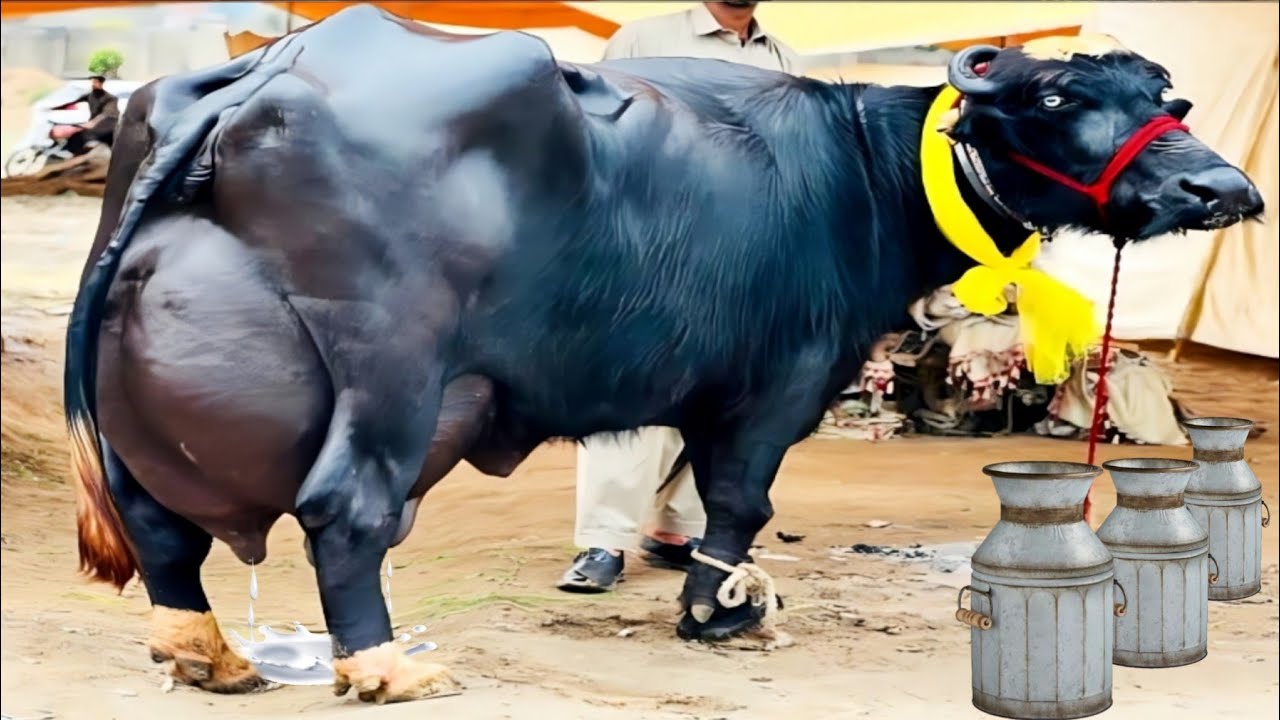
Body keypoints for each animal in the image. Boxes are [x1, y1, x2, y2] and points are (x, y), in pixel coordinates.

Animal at [64, 6, 1262, 704]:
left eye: (1166, 99)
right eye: (1058, 95)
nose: (1222, 189)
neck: (860, 170)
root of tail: (263, 75)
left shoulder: (702, 379)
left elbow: (689, 480)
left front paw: (693, 578)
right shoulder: (785, 377)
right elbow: (740, 493)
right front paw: (718, 609)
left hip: (144, 393)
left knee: (160, 523)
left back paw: (202, 654)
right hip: (391, 368)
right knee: (343, 509)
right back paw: (387, 665)